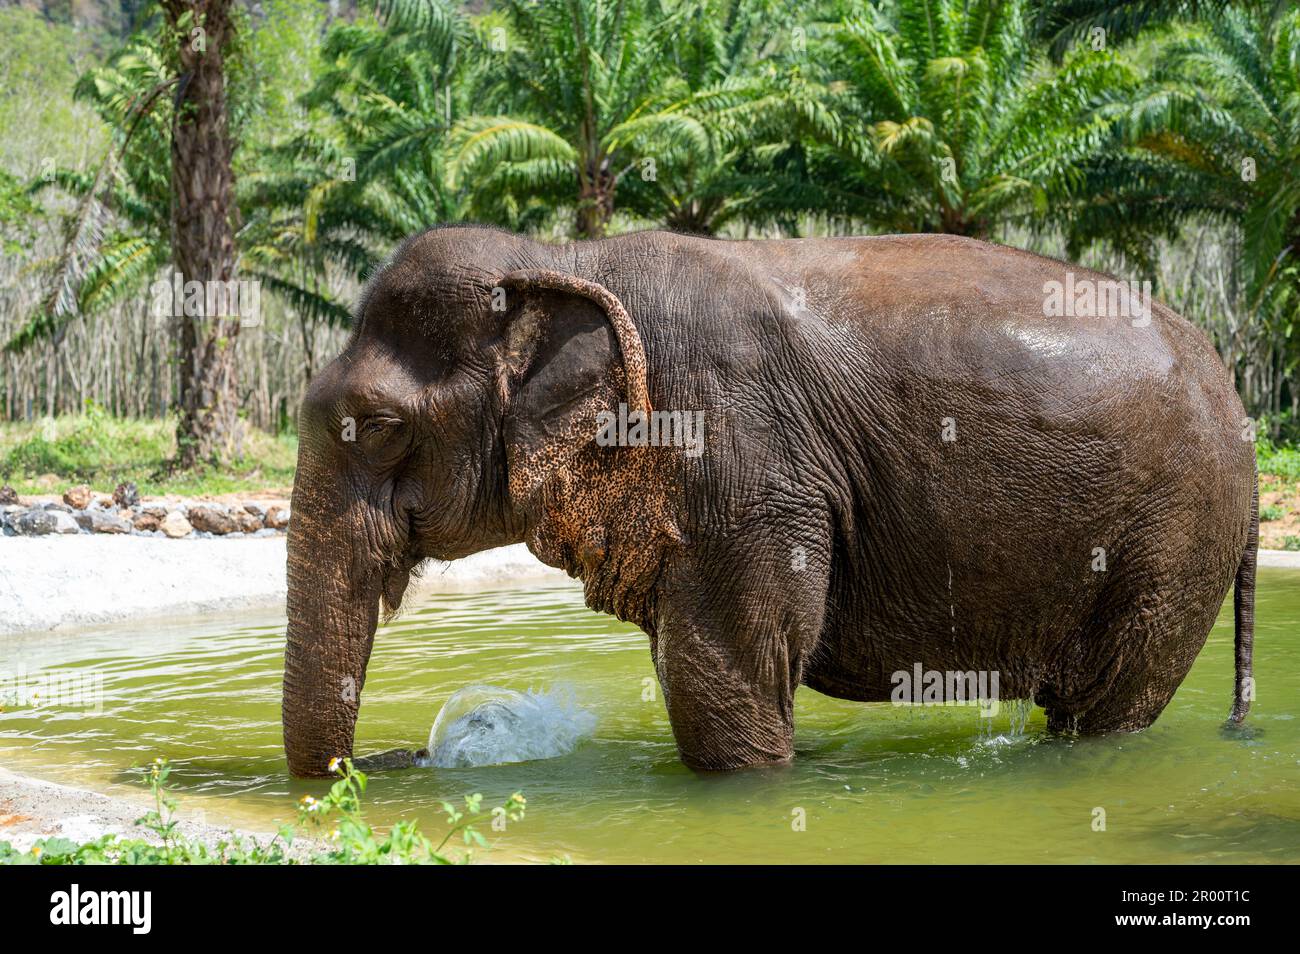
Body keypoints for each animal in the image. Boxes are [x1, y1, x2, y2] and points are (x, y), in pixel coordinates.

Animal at [282, 225, 1257, 778]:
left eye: (376, 426)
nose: (403, 758)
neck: (560, 257)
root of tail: (1237, 392)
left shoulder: (743, 467)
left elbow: (720, 681)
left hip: (1175, 539)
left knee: (1110, 706)